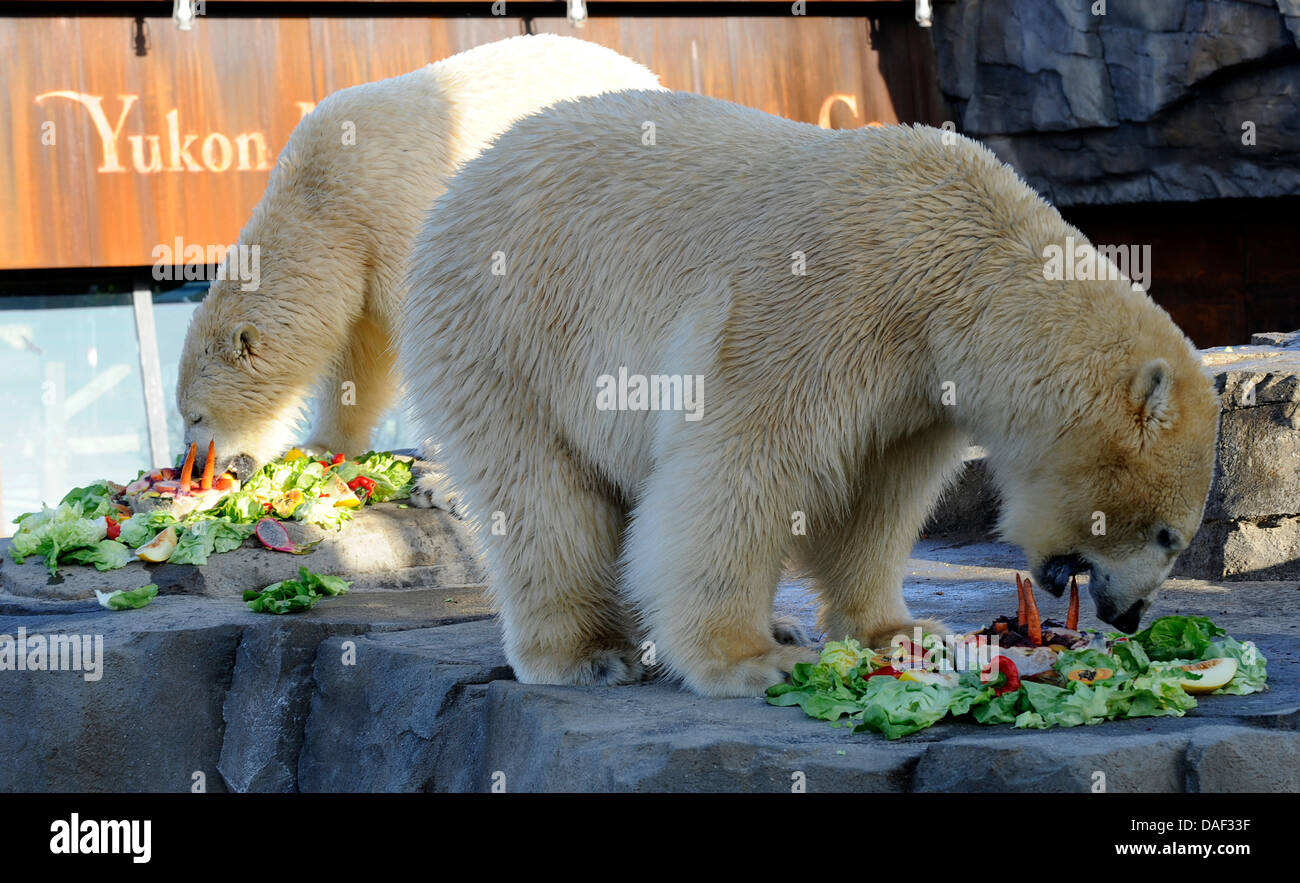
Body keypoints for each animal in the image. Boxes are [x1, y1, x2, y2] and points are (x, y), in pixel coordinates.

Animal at [175, 35, 663, 484]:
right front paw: (321, 446)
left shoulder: (397, 221)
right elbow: (361, 359)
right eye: (184, 415)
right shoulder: (357, 261)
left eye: (196, 416)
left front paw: (441, 465)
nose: (193, 466)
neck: (323, 200)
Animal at [398, 89, 1221, 698]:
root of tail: (461, 183)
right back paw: (588, 652)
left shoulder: (917, 382)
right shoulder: (815, 307)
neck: (956, 265)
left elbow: (876, 493)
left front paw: (899, 631)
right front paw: (748, 659)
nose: (1131, 614)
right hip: (508, 334)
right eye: (1167, 535)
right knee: (543, 496)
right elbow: (739, 470)